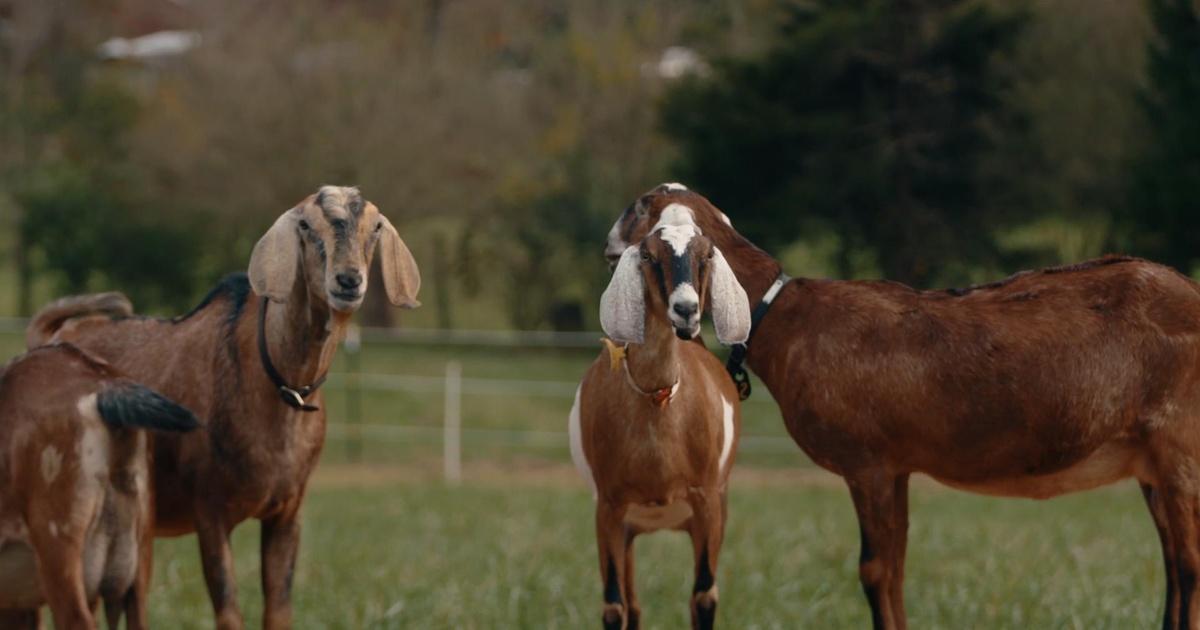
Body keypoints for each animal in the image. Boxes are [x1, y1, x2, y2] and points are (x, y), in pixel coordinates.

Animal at [25, 186, 421, 629]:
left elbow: (278, 610)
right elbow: (229, 610)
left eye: (376, 226)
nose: (349, 280)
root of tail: (48, 336)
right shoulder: (209, 509)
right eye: (305, 225)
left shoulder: (288, 511)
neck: (273, 385)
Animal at [571, 218, 751, 630]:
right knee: (633, 606)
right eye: (649, 256)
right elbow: (614, 606)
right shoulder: (608, 507)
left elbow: (703, 597)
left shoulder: (707, 501)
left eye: (706, 254)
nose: (686, 310)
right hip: (628, 528)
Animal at [606, 183, 1200, 630]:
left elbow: (874, 571)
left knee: (1189, 564)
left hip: (1179, 443)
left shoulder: (866, 461)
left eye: (638, 207)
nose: (609, 245)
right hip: (1151, 458)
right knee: (1175, 562)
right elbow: (896, 569)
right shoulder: (897, 467)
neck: (785, 316)